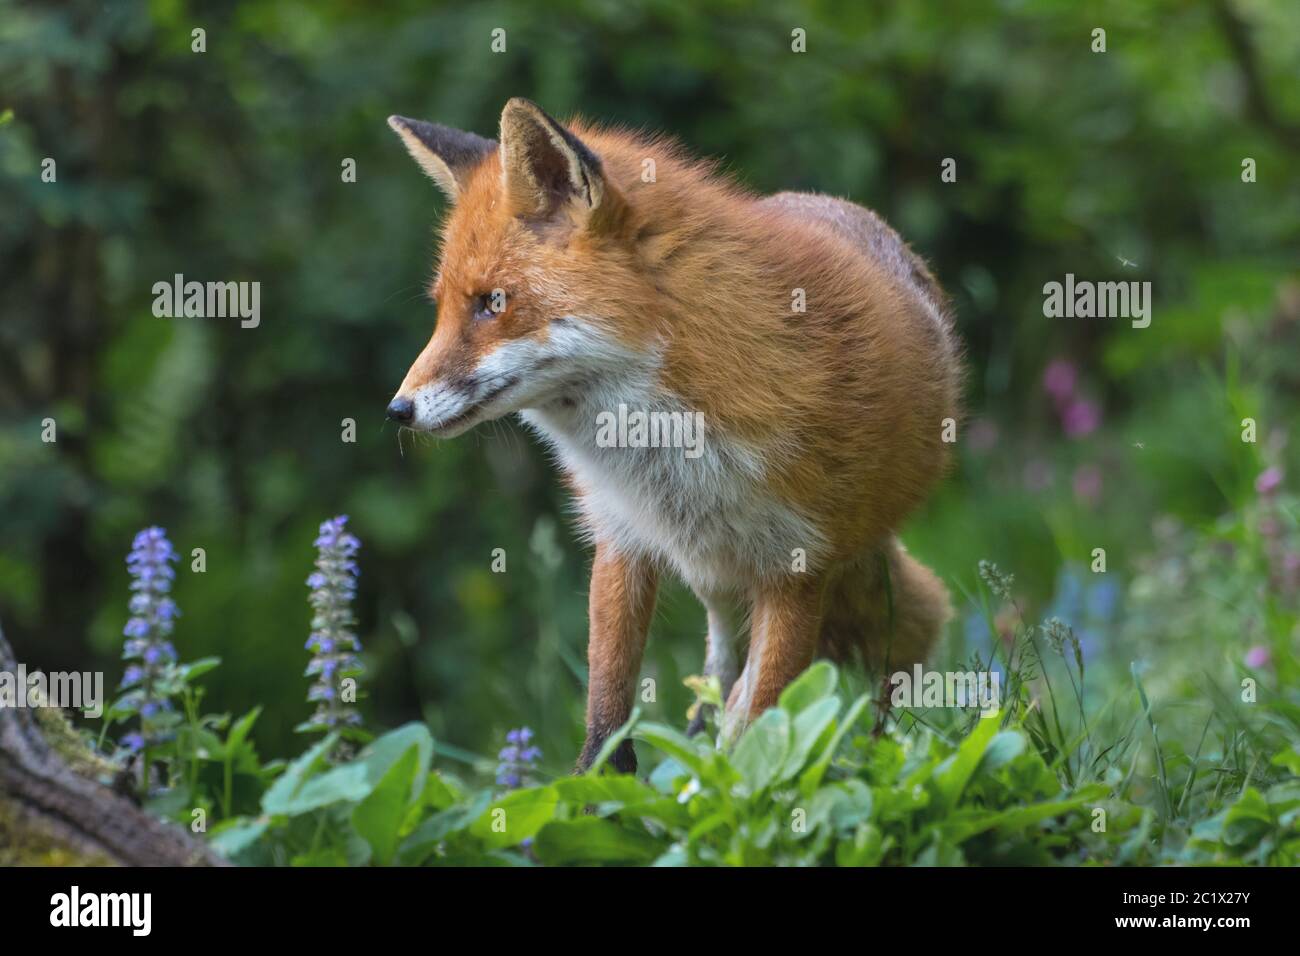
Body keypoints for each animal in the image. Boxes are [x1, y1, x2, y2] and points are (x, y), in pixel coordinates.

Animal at [385, 98, 962, 773]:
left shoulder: (797, 568)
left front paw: (753, 789)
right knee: (719, 671)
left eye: (492, 303)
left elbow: (765, 718)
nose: (397, 409)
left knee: (890, 648)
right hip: (720, 582)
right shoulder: (622, 536)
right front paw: (598, 793)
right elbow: (607, 714)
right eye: (444, 308)